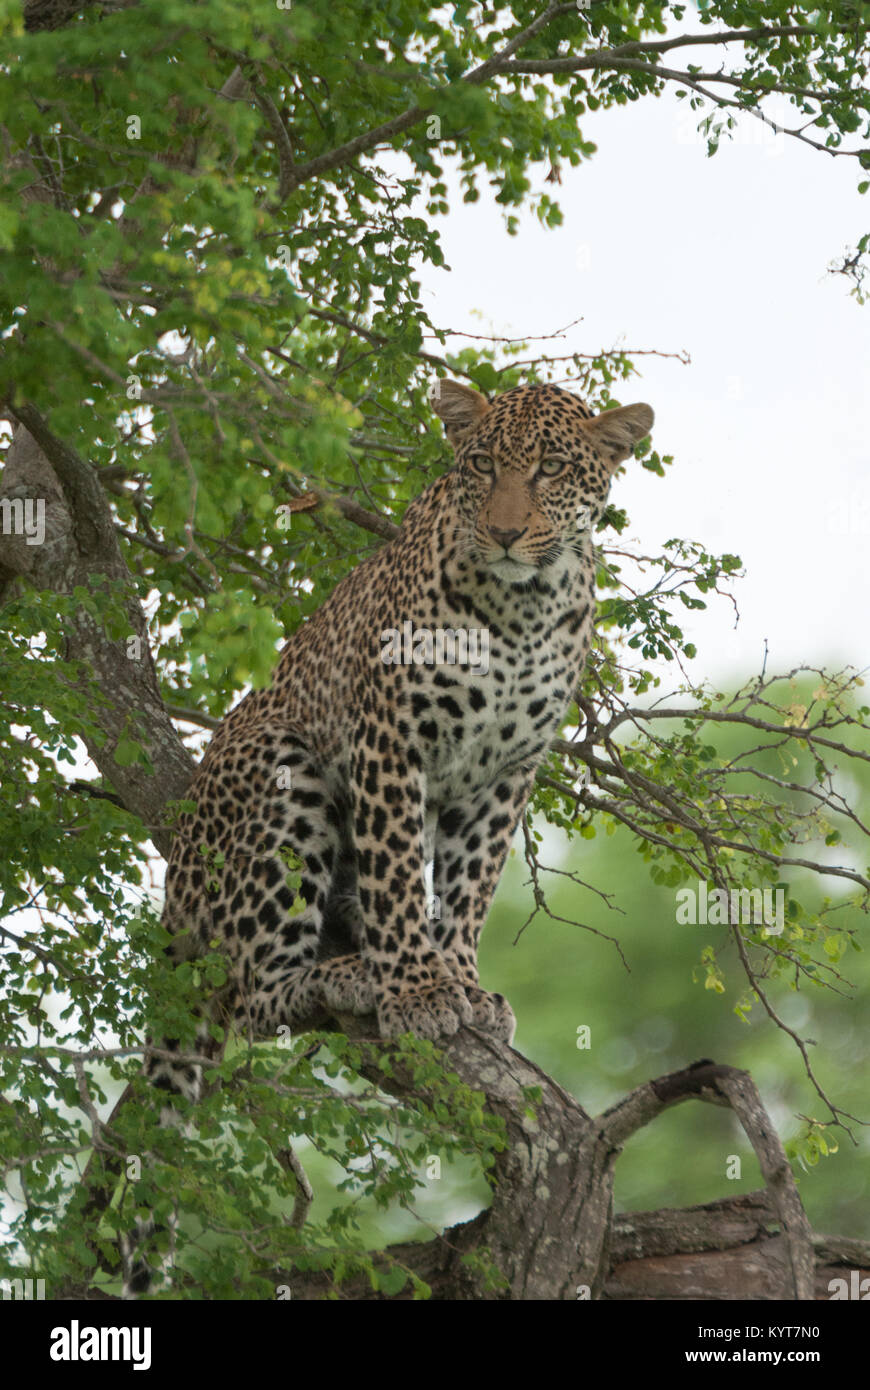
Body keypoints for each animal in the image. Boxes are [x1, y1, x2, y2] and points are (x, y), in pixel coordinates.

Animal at [122, 378, 653, 1293]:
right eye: (481, 466)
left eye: (551, 469)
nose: (505, 532)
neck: (525, 606)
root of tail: (177, 887)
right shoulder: (391, 741)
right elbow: (403, 873)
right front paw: (417, 990)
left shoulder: (508, 771)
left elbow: (470, 887)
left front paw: (465, 981)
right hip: (284, 769)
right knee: (257, 995)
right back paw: (350, 975)